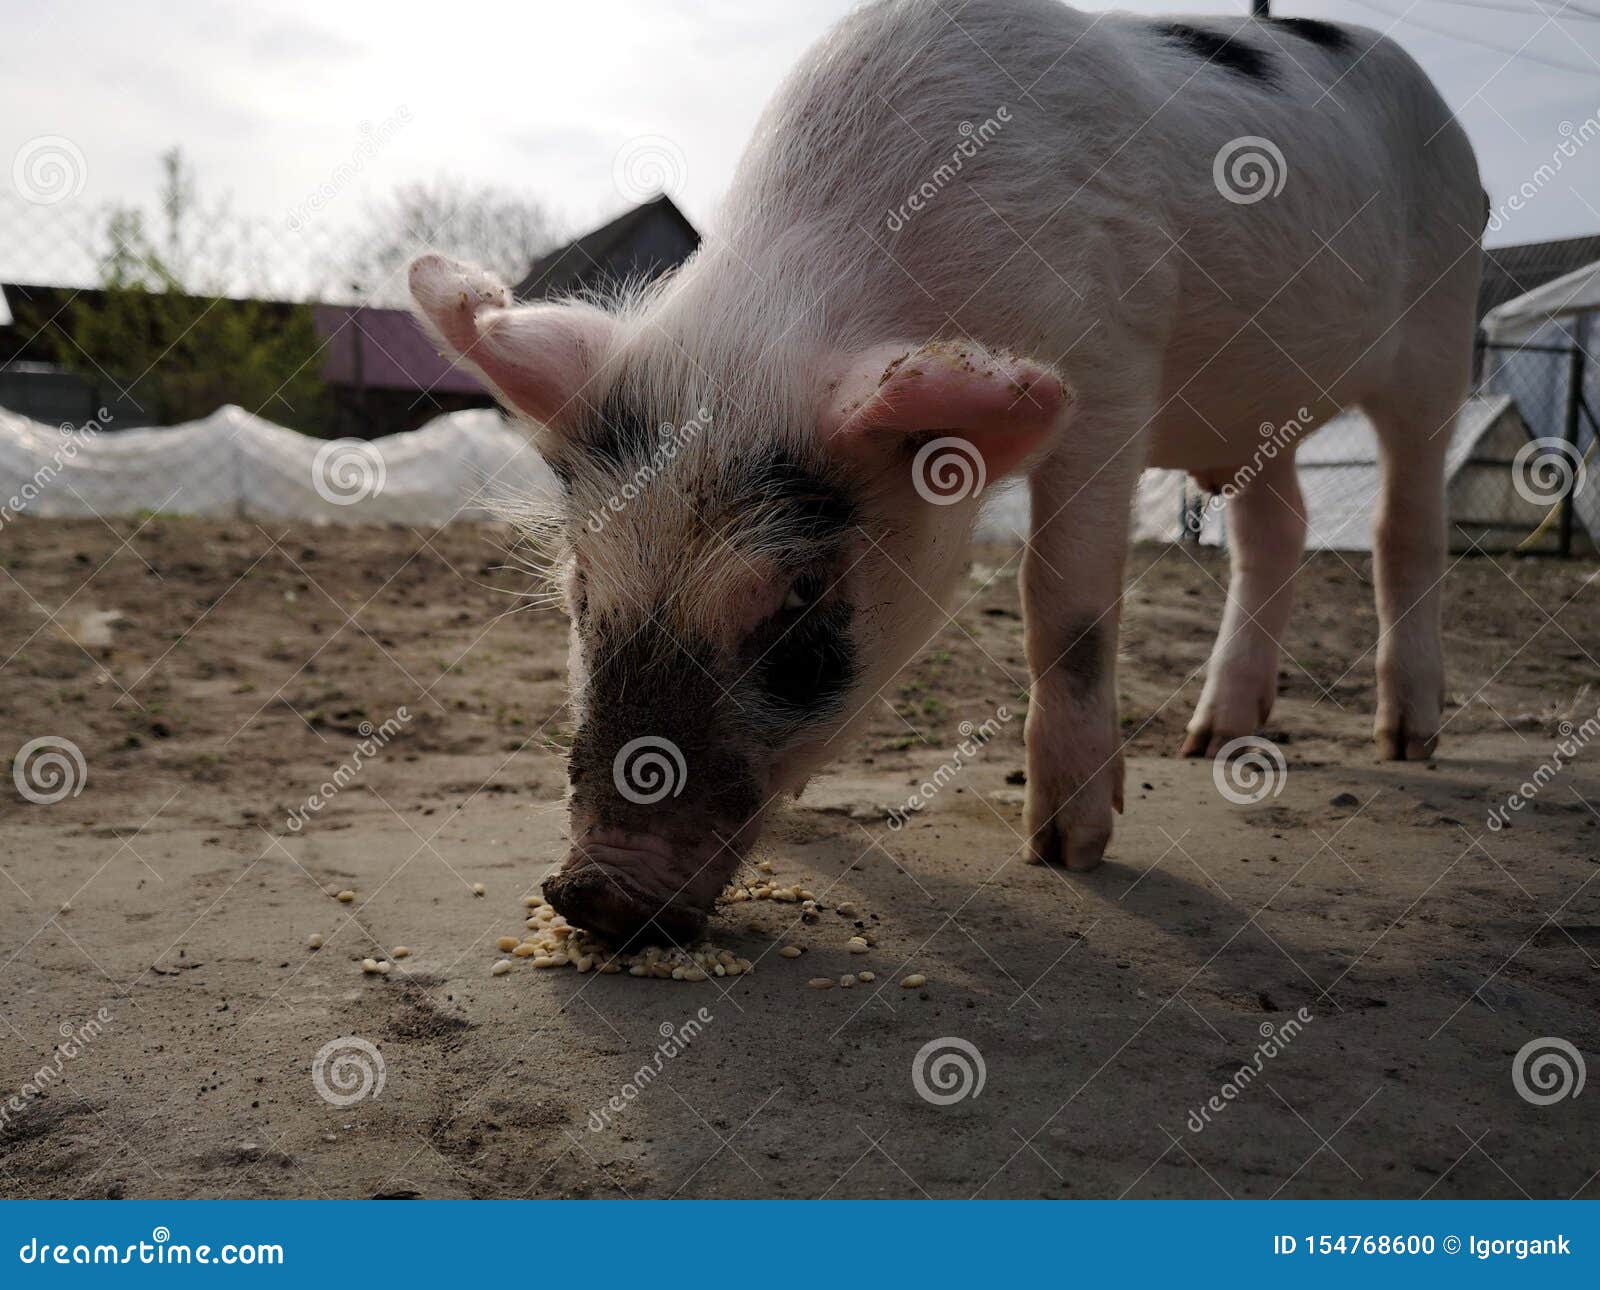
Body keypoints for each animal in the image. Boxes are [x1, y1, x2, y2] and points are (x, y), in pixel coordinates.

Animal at [410, 0, 1483, 942]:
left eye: (803, 604)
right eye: (584, 594)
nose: (594, 890)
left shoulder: (1113, 372)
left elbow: (1063, 604)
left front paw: (1065, 852)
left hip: (1440, 327)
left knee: (1405, 519)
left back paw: (1406, 740)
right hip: (1265, 412)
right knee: (1278, 525)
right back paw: (1211, 741)